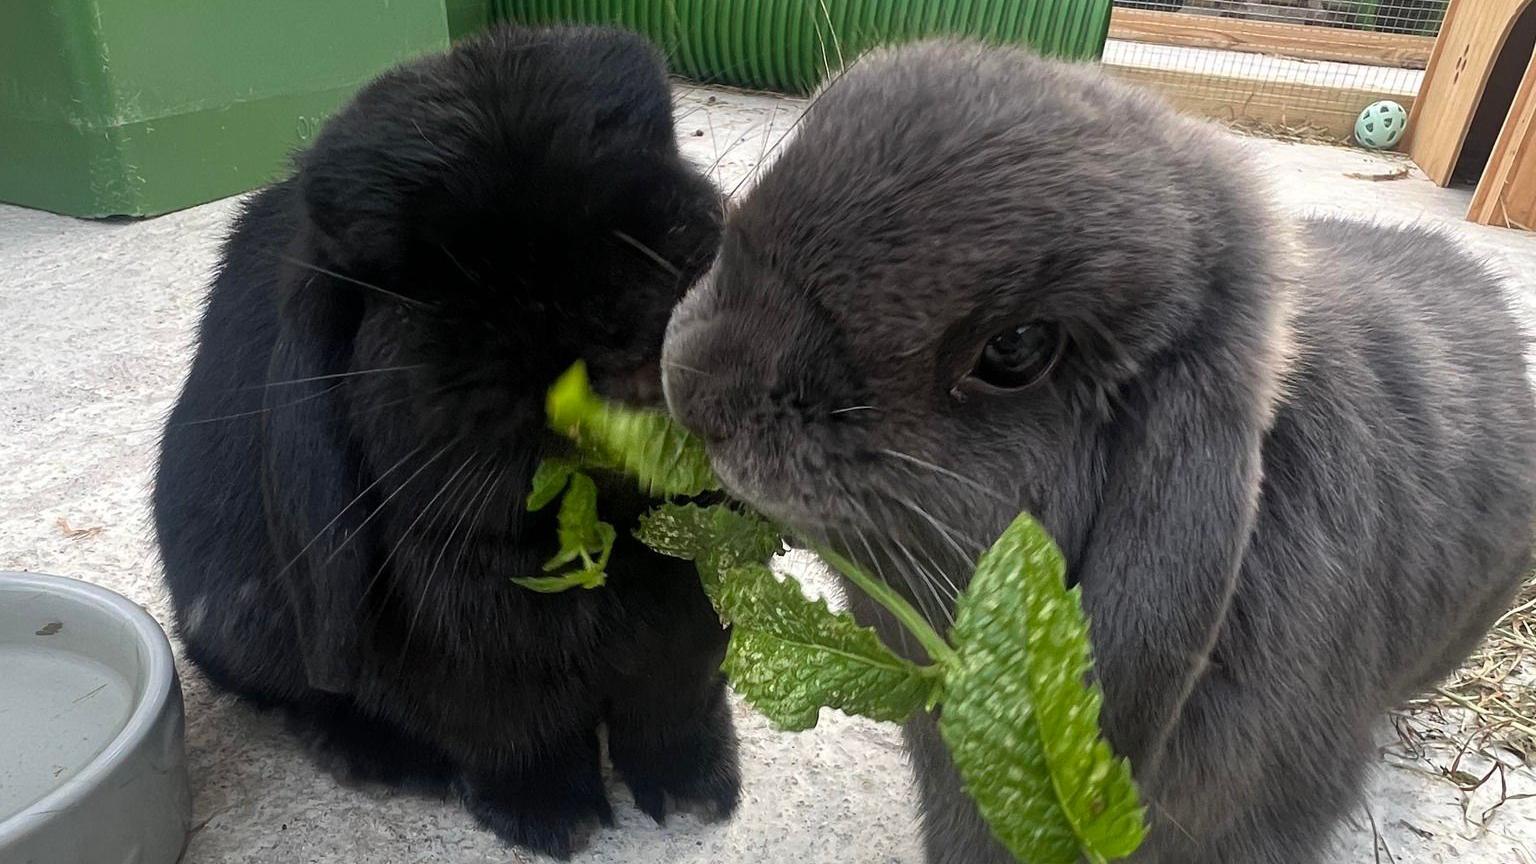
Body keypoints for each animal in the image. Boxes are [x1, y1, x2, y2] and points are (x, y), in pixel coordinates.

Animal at [152, 25, 738, 859]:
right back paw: (379, 758)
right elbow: (517, 736)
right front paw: (554, 822)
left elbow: (676, 710)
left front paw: (698, 796)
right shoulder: (478, 665)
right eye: (412, 277)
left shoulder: (689, 642)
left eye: (659, 151)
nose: (583, 318)